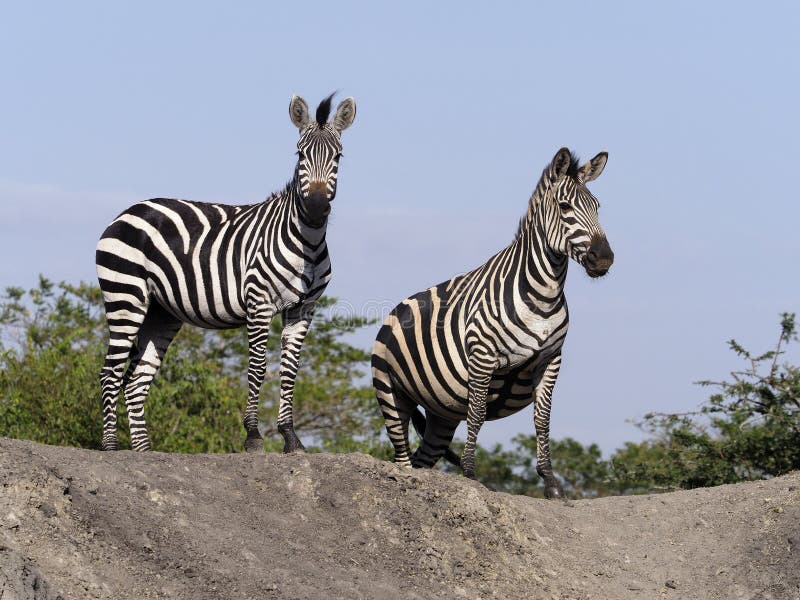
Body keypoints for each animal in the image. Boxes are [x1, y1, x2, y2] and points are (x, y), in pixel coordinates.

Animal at [96, 93, 356, 453]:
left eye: (338, 156)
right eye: (300, 154)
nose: (317, 209)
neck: (308, 241)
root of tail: (128, 211)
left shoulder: (303, 308)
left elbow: (290, 370)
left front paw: (290, 437)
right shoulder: (259, 302)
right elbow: (258, 368)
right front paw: (253, 436)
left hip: (160, 311)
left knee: (136, 381)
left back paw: (144, 452)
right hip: (125, 296)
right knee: (110, 372)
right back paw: (110, 446)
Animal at [371, 147, 613, 498]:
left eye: (597, 207)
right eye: (565, 207)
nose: (604, 259)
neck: (542, 294)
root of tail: (396, 310)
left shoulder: (550, 359)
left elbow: (542, 419)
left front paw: (550, 482)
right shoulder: (482, 356)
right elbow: (477, 412)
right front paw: (470, 474)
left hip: (441, 413)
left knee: (422, 458)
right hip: (391, 392)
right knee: (401, 455)